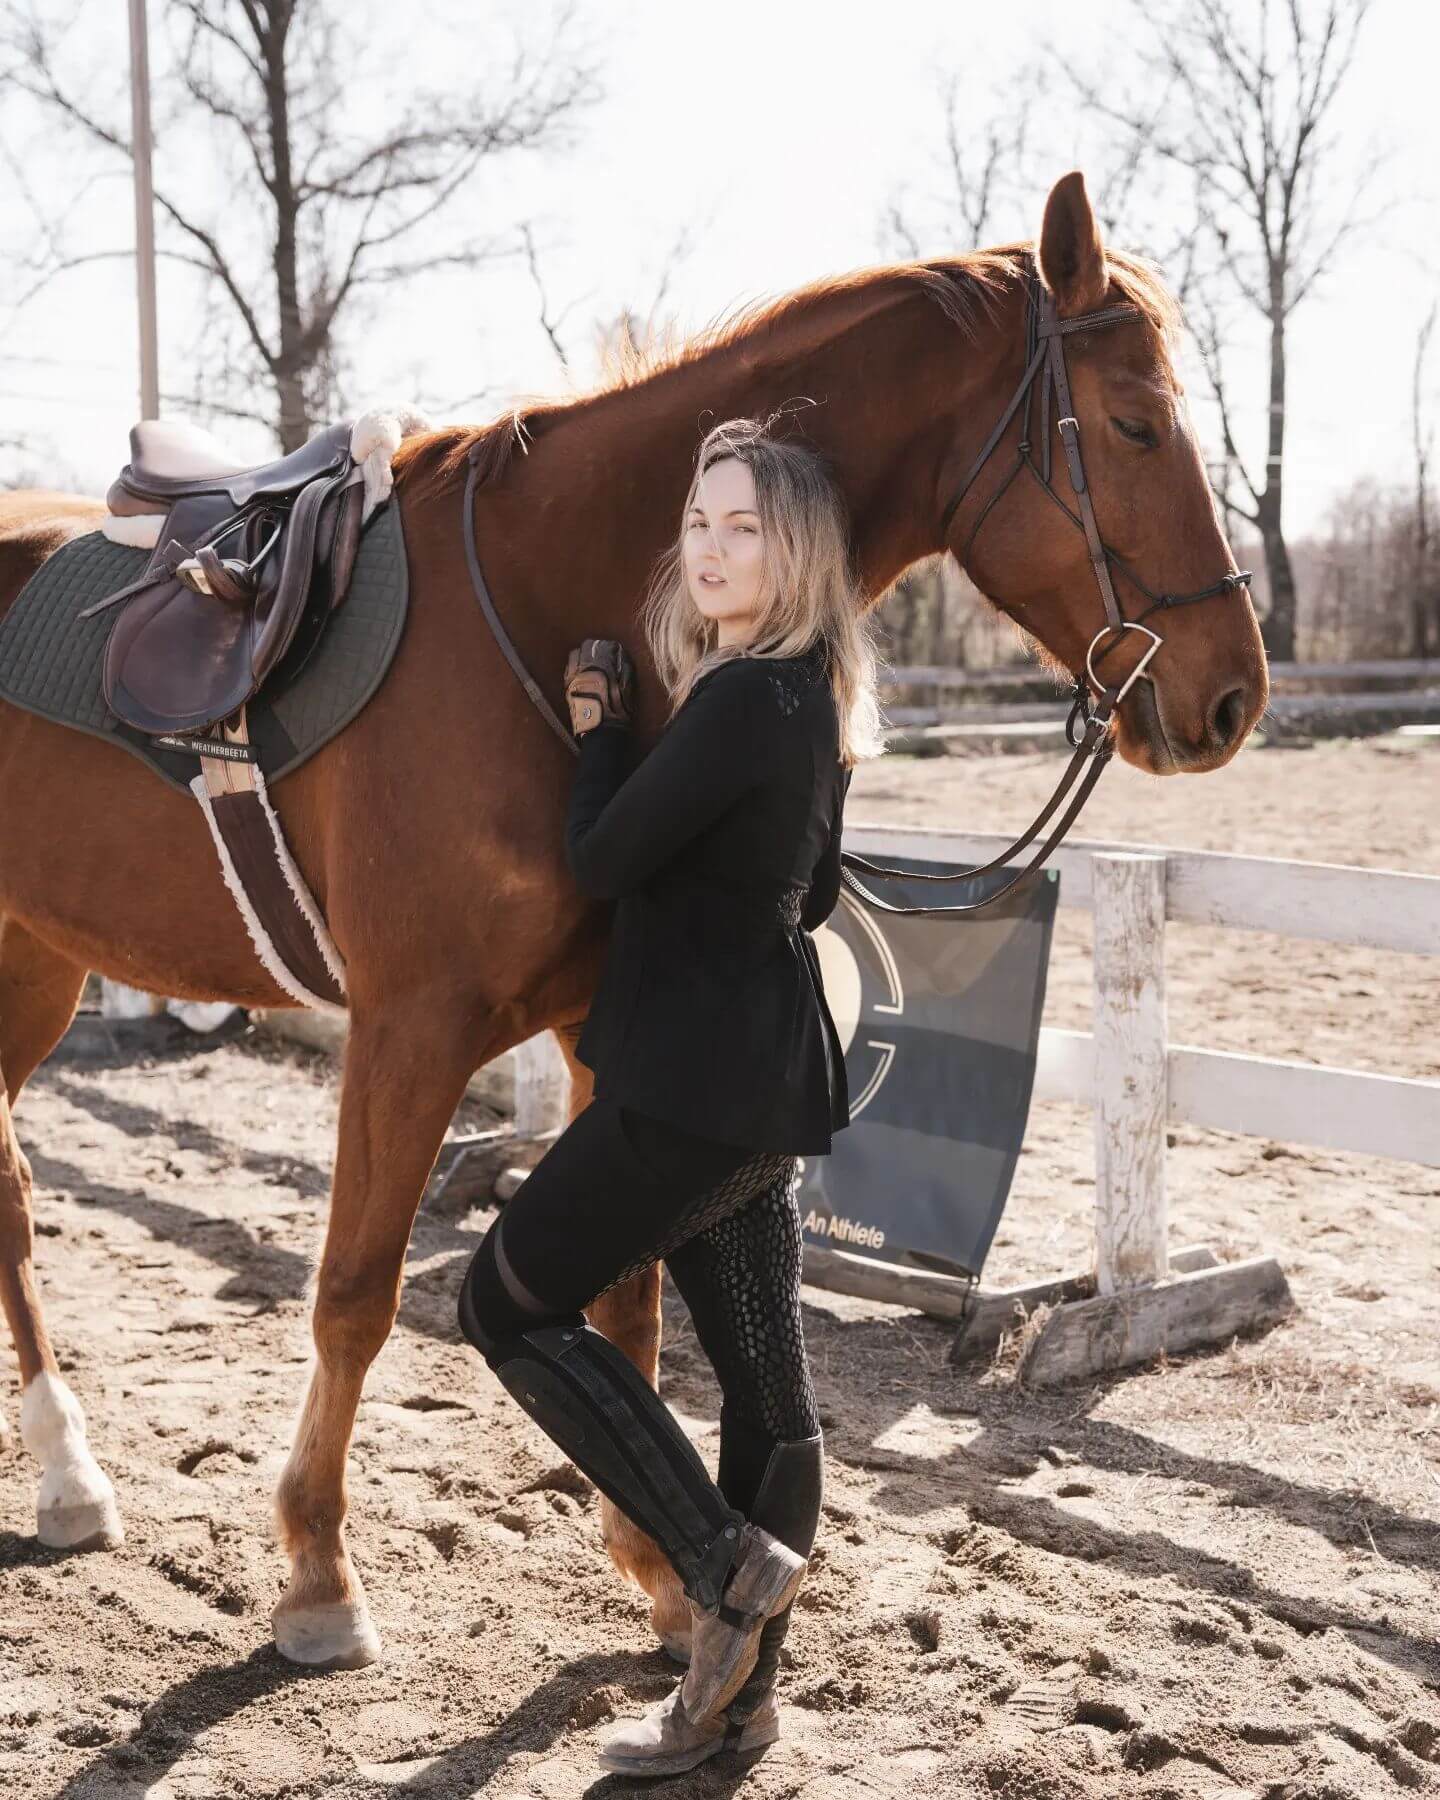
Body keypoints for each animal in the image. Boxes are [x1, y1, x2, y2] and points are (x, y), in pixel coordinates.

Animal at [0, 172, 1266, 1670]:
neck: (541, 599)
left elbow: (625, 1307)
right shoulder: (412, 1028)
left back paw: (69, 1478)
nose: (1234, 693)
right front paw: (318, 1574)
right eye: (1133, 422)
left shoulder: (603, 1034)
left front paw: (664, 1577)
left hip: (34, 968)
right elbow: (357, 1291)